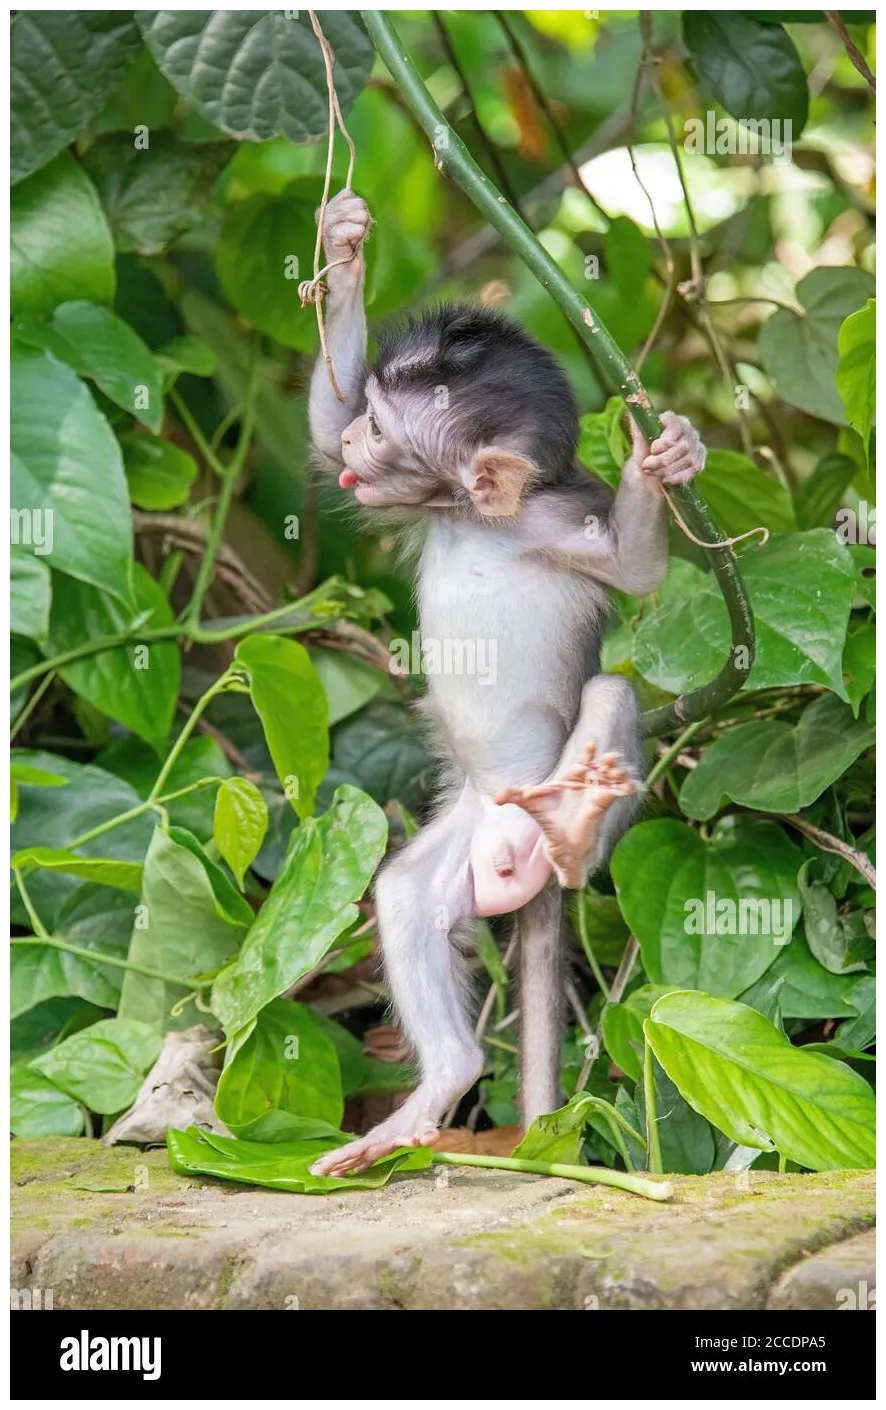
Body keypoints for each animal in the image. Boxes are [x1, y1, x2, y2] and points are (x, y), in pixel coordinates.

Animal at [307, 191, 706, 1177]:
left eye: (382, 430)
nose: (356, 435)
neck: (482, 520)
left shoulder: (557, 519)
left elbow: (637, 573)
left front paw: (662, 459)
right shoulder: (419, 511)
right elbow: (318, 432)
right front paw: (344, 249)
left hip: (543, 790)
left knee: (612, 694)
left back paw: (578, 827)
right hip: (471, 835)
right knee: (408, 898)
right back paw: (433, 1091)